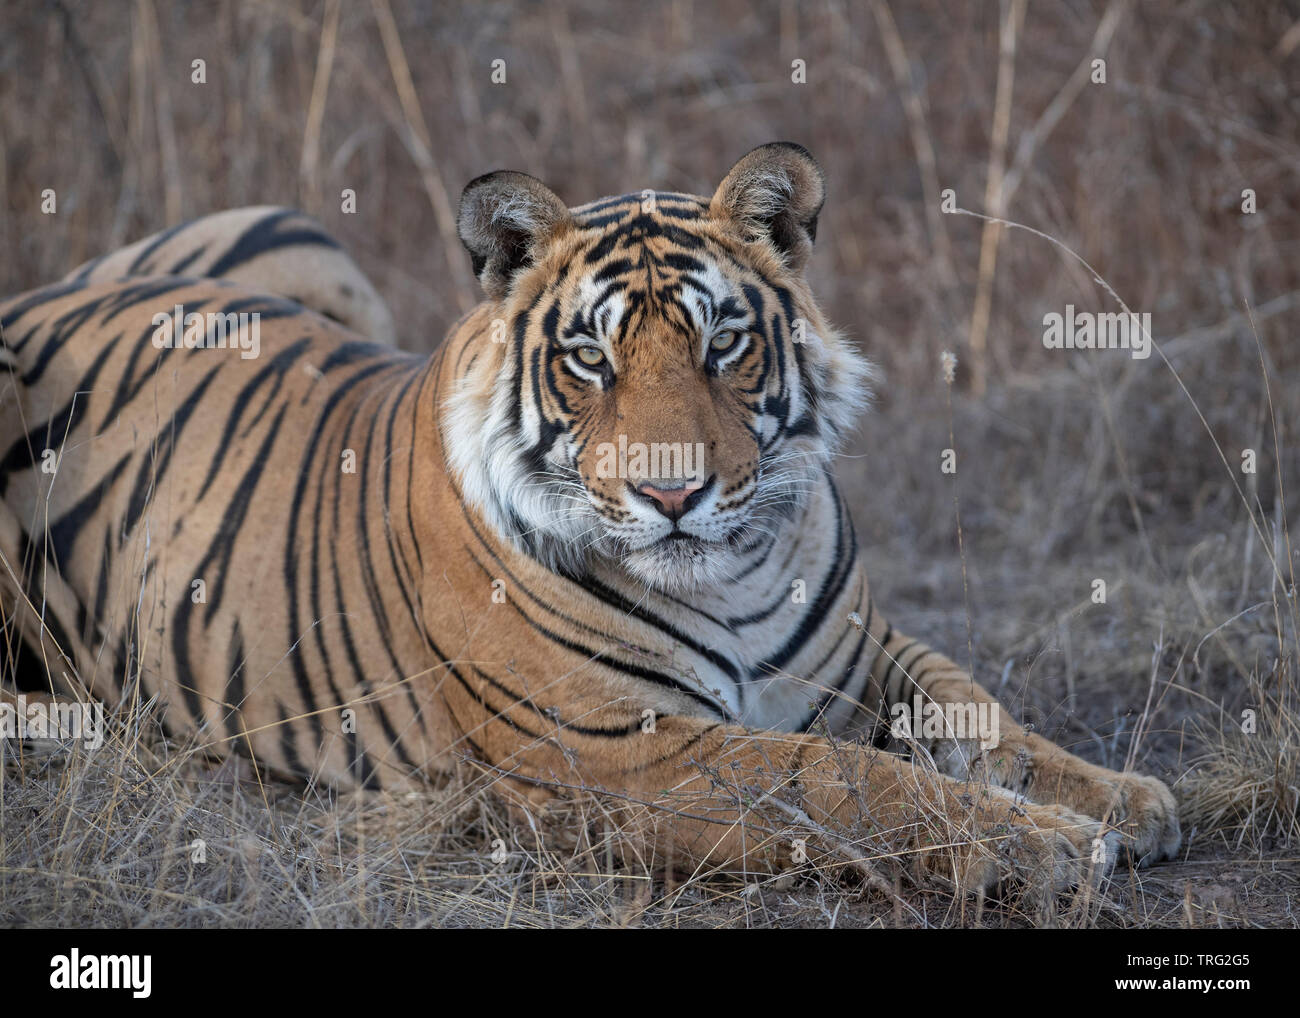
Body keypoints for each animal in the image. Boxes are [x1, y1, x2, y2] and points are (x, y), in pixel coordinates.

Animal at [0, 143, 1179, 893]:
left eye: (721, 344)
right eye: (589, 358)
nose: (673, 494)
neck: (733, 572)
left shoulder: (868, 651)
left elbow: (979, 715)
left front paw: (1123, 801)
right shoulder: (623, 754)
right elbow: (850, 782)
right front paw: (1045, 848)